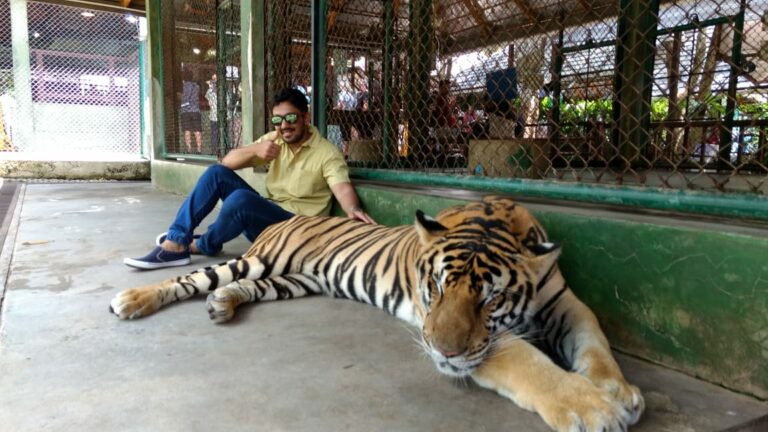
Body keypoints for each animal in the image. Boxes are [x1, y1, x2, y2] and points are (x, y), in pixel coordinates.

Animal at [110, 196, 644, 431]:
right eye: (435, 288)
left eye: (489, 300)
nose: (443, 352)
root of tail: (285, 218)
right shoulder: (475, 343)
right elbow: (532, 365)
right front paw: (595, 409)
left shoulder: (564, 302)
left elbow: (594, 340)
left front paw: (618, 390)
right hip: (260, 261)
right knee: (192, 279)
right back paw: (131, 300)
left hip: (294, 280)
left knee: (243, 287)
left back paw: (223, 304)